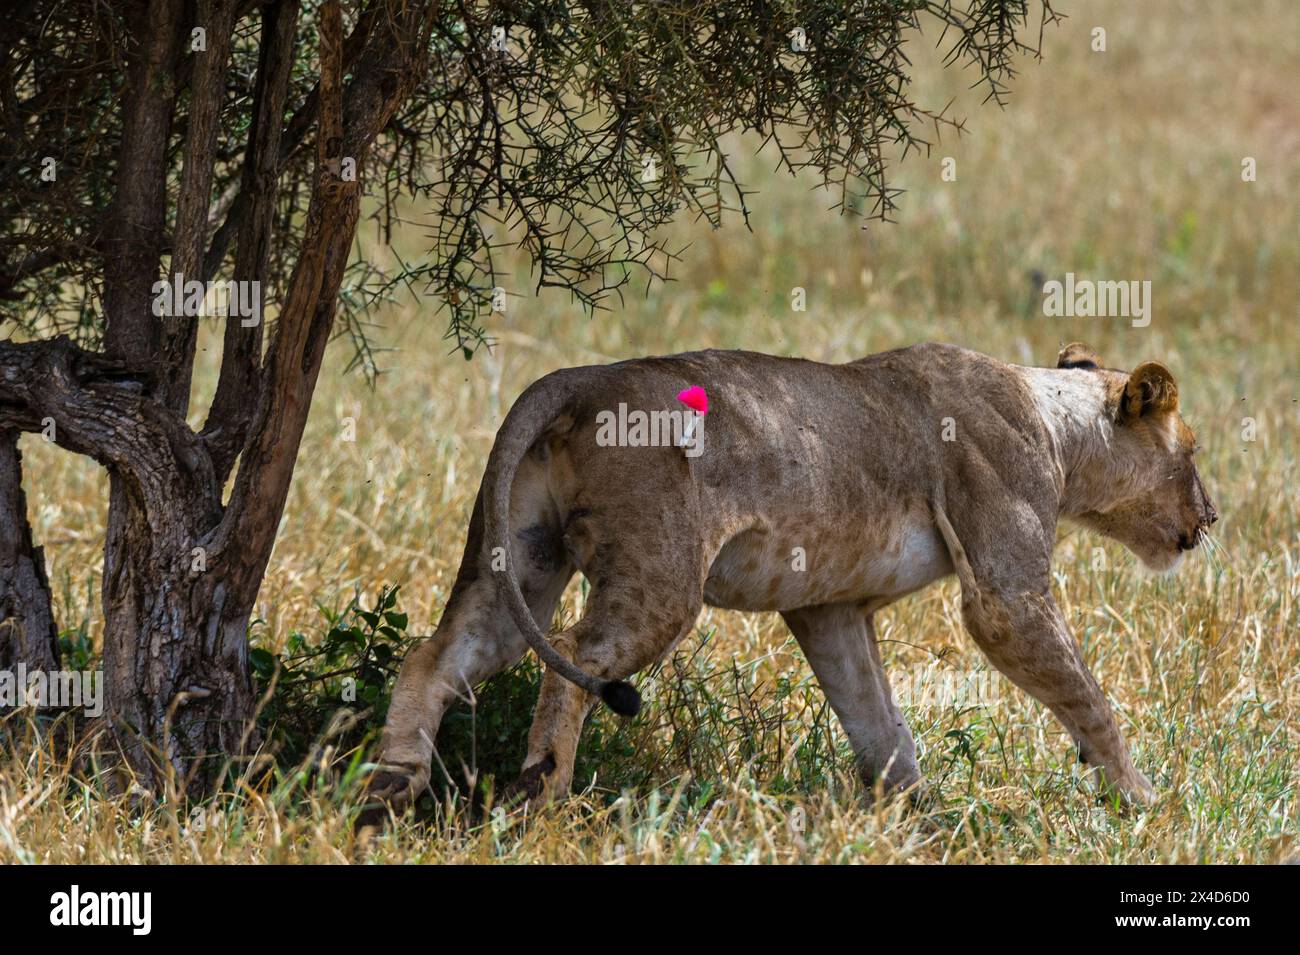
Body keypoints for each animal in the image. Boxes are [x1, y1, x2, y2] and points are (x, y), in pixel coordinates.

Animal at [363, 341, 1216, 819]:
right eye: (1194, 452)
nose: (1212, 516)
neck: (1056, 424)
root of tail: (574, 380)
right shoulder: (1006, 594)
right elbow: (1089, 697)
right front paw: (1143, 801)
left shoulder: (828, 607)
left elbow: (880, 723)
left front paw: (918, 820)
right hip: (659, 580)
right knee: (574, 656)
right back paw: (546, 800)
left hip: (523, 558)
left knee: (436, 653)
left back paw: (389, 794)